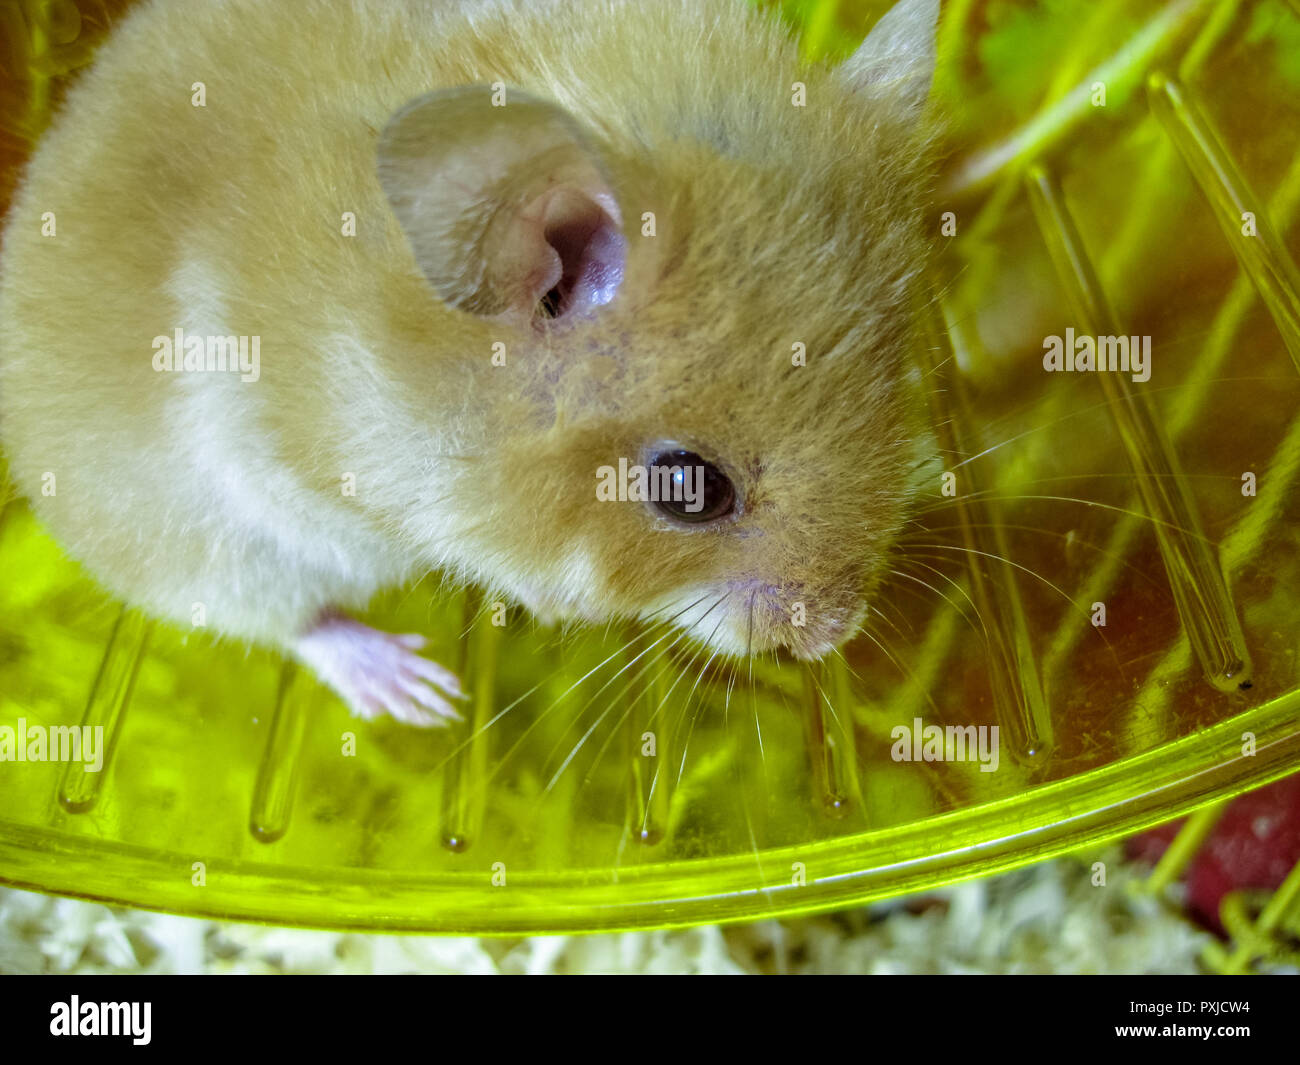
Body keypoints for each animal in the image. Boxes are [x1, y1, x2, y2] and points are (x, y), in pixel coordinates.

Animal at [0, 0, 940, 726]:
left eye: (901, 384)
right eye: (687, 488)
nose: (837, 634)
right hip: (215, 549)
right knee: (294, 622)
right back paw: (419, 692)